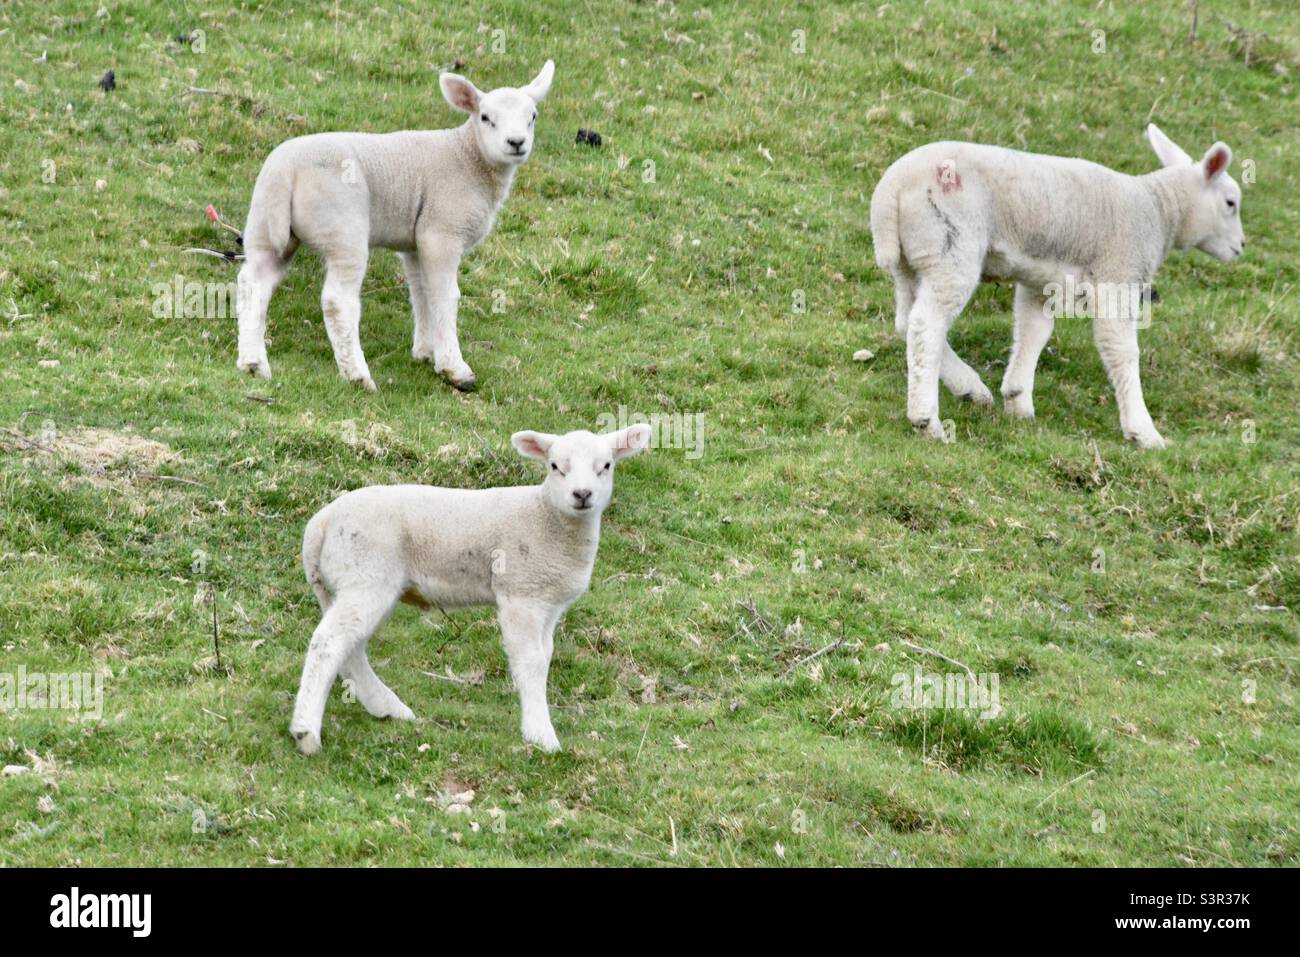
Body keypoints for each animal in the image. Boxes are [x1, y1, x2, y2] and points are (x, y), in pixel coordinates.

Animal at [235, 61, 555, 393]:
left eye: (532, 116)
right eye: (485, 117)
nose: (516, 142)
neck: (468, 157)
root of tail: (286, 170)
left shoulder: (415, 242)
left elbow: (421, 292)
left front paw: (427, 352)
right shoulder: (442, 232)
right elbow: (445, 295)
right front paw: (454, 368)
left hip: (265, 225)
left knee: (253, 284)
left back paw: (253, 363)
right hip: (342, 230)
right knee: (337, 301)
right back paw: (357, 375)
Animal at [289, 423, 652, 755]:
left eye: (606, 465)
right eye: (554, 466)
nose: (582, 494)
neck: (546, 516)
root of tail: (320, 524)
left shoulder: (548, 603)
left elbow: (545, 655)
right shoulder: (520, 594)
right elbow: (531, 661)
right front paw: (540, 734)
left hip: (359, 583)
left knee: (352, 647)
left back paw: (386, 706)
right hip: (367, 573)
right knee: (328, 642)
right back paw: (307, 732)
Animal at [870, 124, 1244, 449]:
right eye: (1231, 203)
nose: (1241, 246)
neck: (1159, 210)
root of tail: (891, 188)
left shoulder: (1040, 282)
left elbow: (1033, 332)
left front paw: (1018, 400)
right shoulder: (1118, 274)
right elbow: (1121, 350)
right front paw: (1143, 431)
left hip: (913, 260)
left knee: (906, 320)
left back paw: (969, 387)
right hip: (950, 246)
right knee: (926, 325)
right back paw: (926, 420)